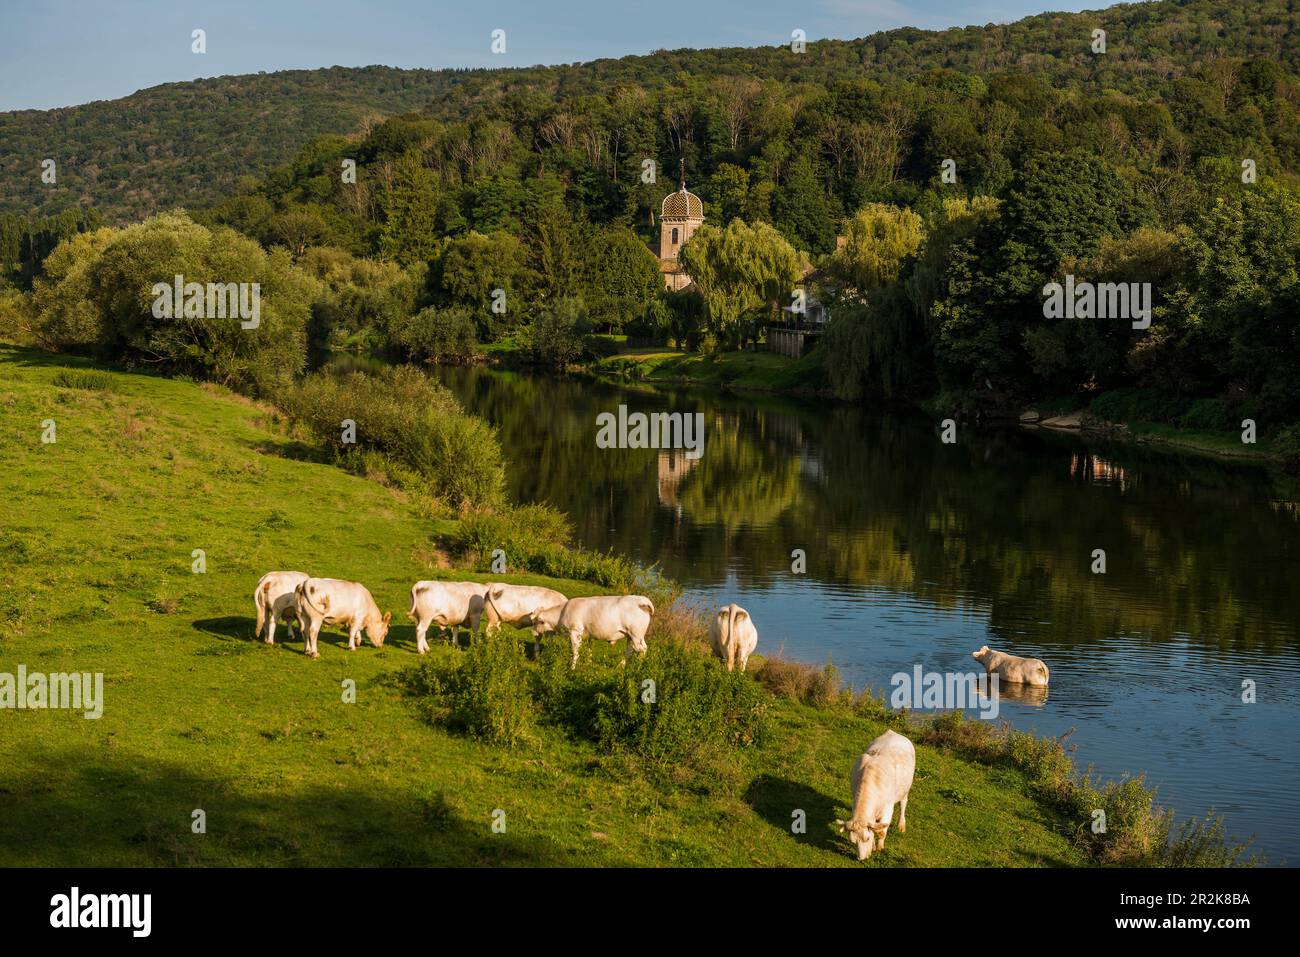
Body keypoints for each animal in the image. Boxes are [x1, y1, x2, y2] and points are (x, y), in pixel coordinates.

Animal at [835, 730, 916, 861]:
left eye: (867, 838)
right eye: (852, 842)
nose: (861, 859)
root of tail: (892, 732)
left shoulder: (888, 809)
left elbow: (881, 831)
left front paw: (879, 848)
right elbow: (874, 828)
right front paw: (873, 847)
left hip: (905, 788)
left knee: (903, 803)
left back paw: (901, 825)